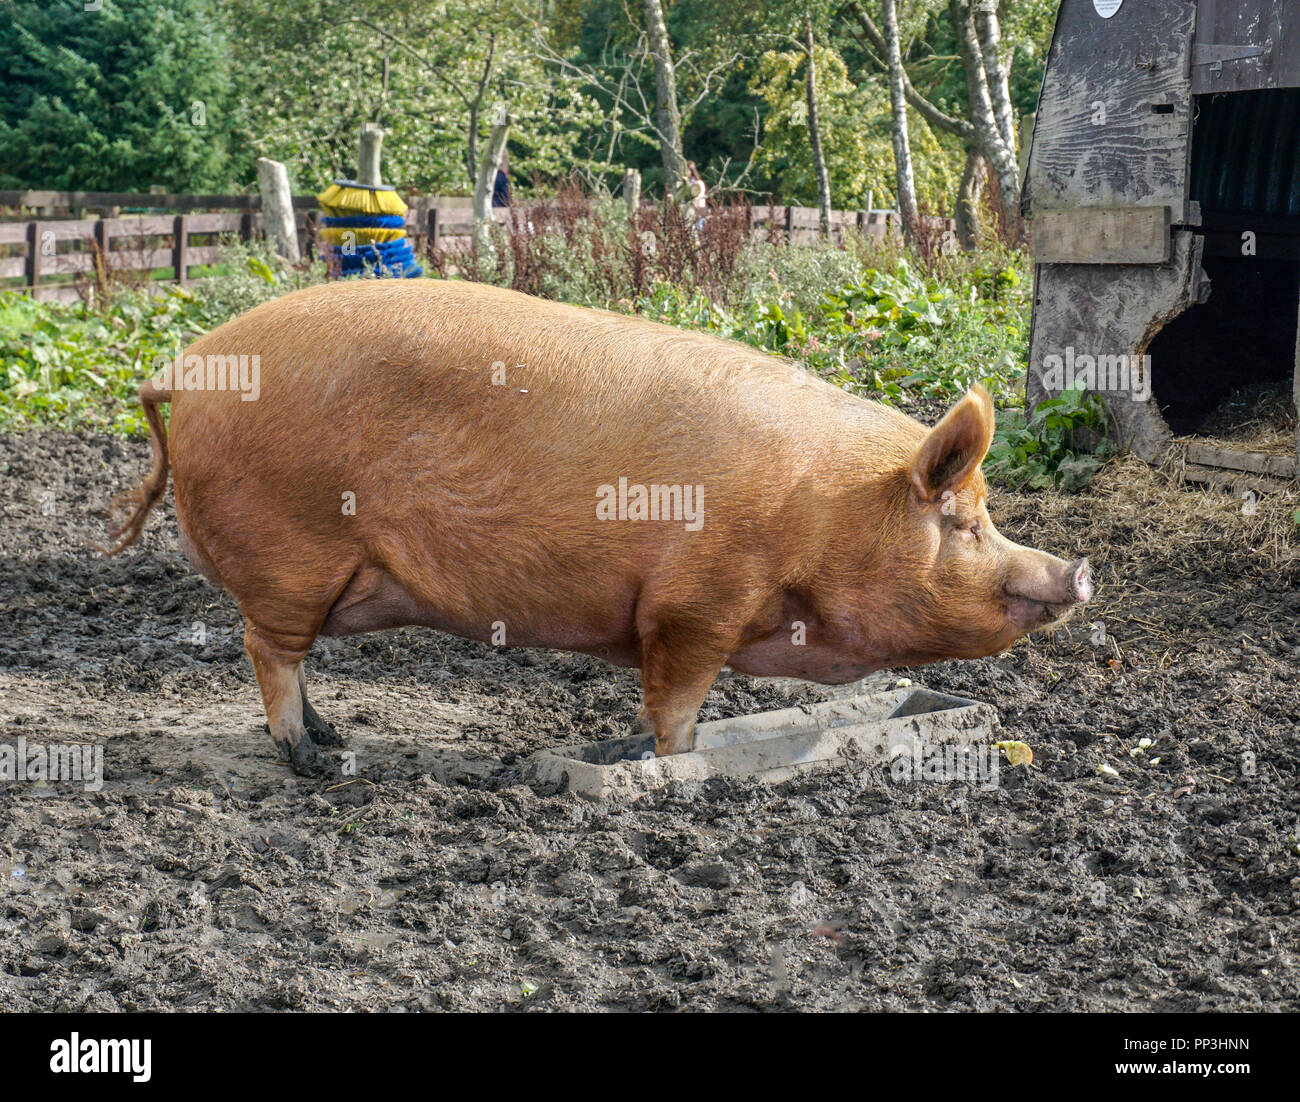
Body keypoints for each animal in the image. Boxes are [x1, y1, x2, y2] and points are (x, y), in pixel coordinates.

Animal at [105, 278, 1091, 775]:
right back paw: (309, 759)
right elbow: (677, 708)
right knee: (265, 648)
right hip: (293, 553)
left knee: (289, 654)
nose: (1077, 570)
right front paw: (671, 769)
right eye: (964, 521)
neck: (825, 516)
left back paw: (338, 737)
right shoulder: (692, 606)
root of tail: (184, 369)